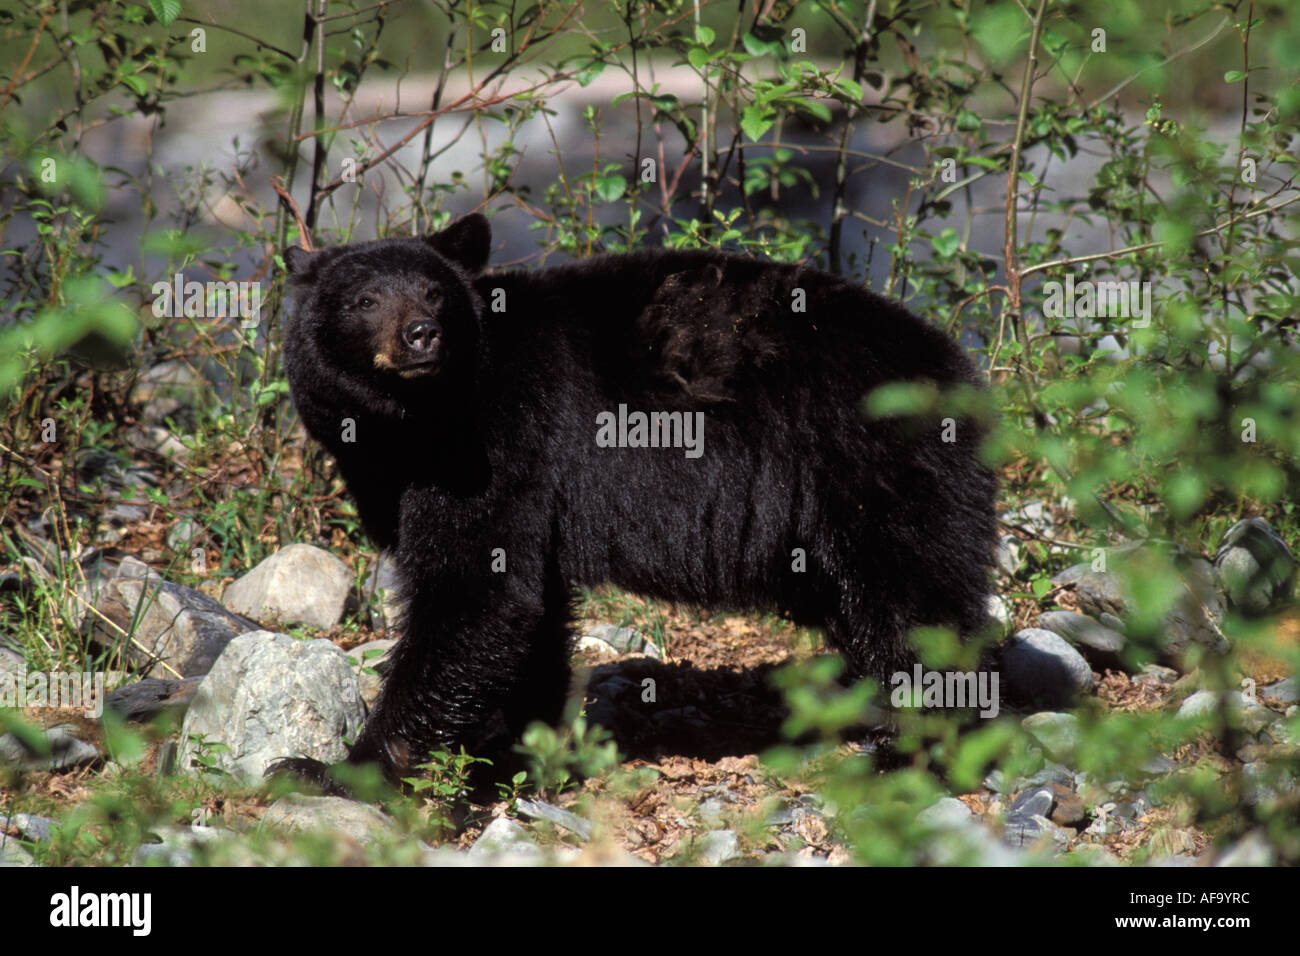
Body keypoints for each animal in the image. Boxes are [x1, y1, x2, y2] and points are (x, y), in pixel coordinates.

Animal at [278, 213, 997, 784]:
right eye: (365, 298)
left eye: (435, 292)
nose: (422, 333)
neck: (416, 422)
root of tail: (960, 369)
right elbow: (532, 607)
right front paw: (522, 748)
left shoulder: (500, 443)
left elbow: (474, 593)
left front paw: (335, 769)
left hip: (869, 467)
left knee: (915, 607)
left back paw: (914, 752)